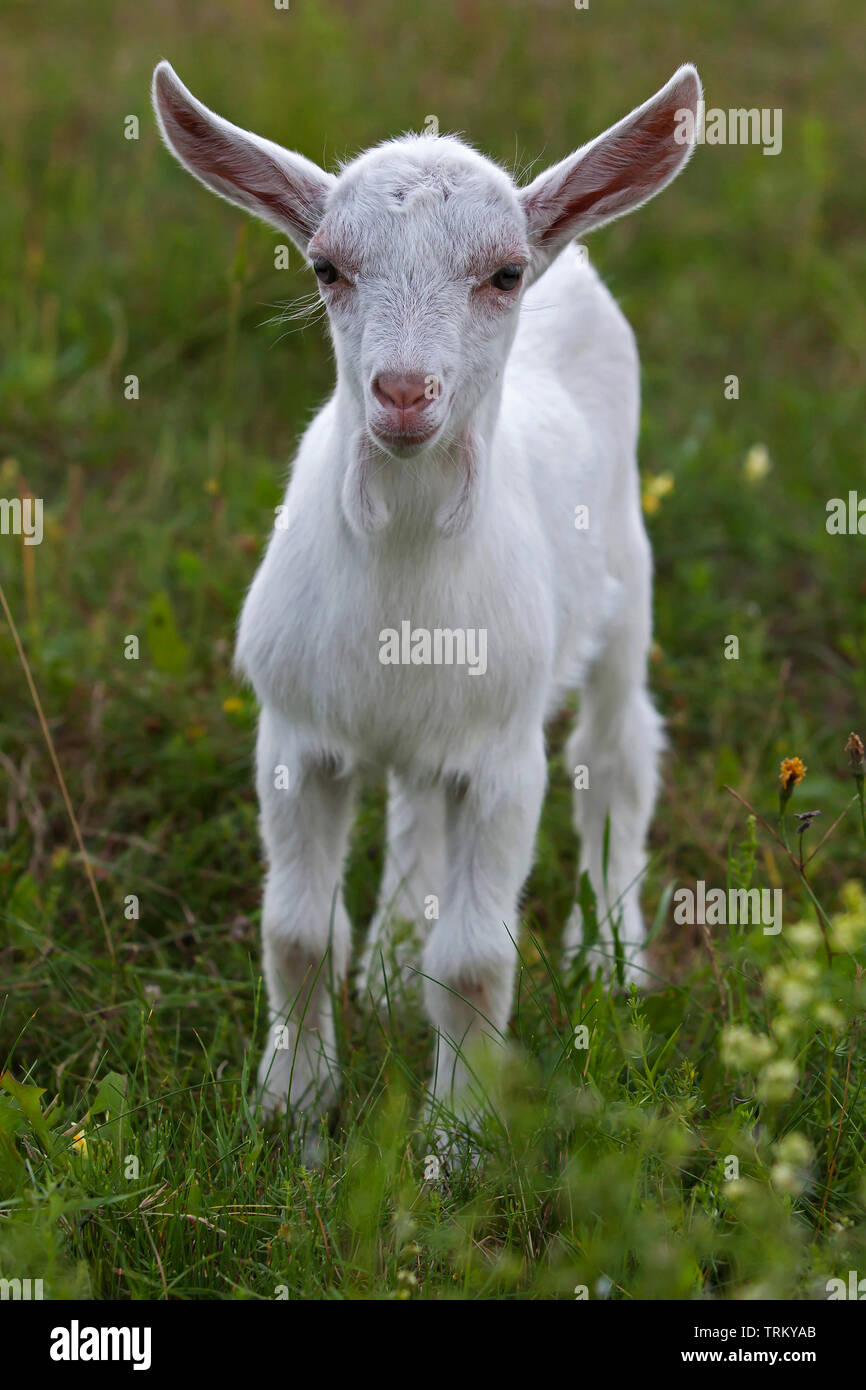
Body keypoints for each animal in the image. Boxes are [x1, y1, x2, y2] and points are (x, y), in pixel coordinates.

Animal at [152, 60, 701, 1145]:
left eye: (502, 275)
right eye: (325, 266)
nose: (403, 394)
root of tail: (571, 254)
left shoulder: (501, 758)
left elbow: (478, 963)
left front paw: (458, 1142)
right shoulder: (294, 734)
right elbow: (294, 934)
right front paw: (292, 1113)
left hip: (628, 576)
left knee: (616, 751)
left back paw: (607, 957)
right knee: (413, 803)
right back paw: (392, 957)